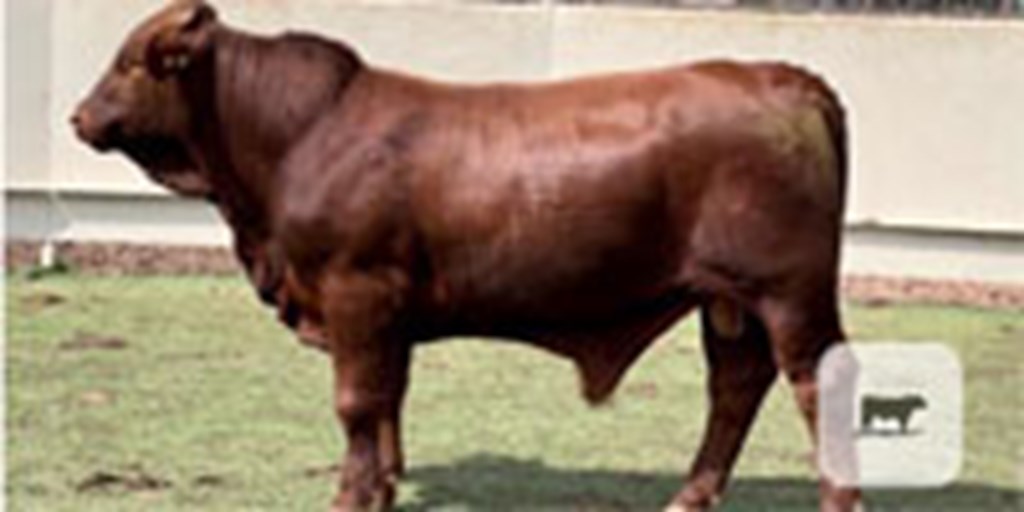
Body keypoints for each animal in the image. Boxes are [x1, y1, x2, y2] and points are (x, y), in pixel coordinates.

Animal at [71, 1, 859, 511]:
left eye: (131, 63)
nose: (77, 117)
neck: (298, 134)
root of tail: (783, 74)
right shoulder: (387, 312)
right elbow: (388, 399)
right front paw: (383, 487)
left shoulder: (355, 289)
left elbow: (356, 402)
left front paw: (352, 496)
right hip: (730, 301)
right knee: (735, 388)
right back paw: (688, 498)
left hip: (788, 292)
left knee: (815, 385)